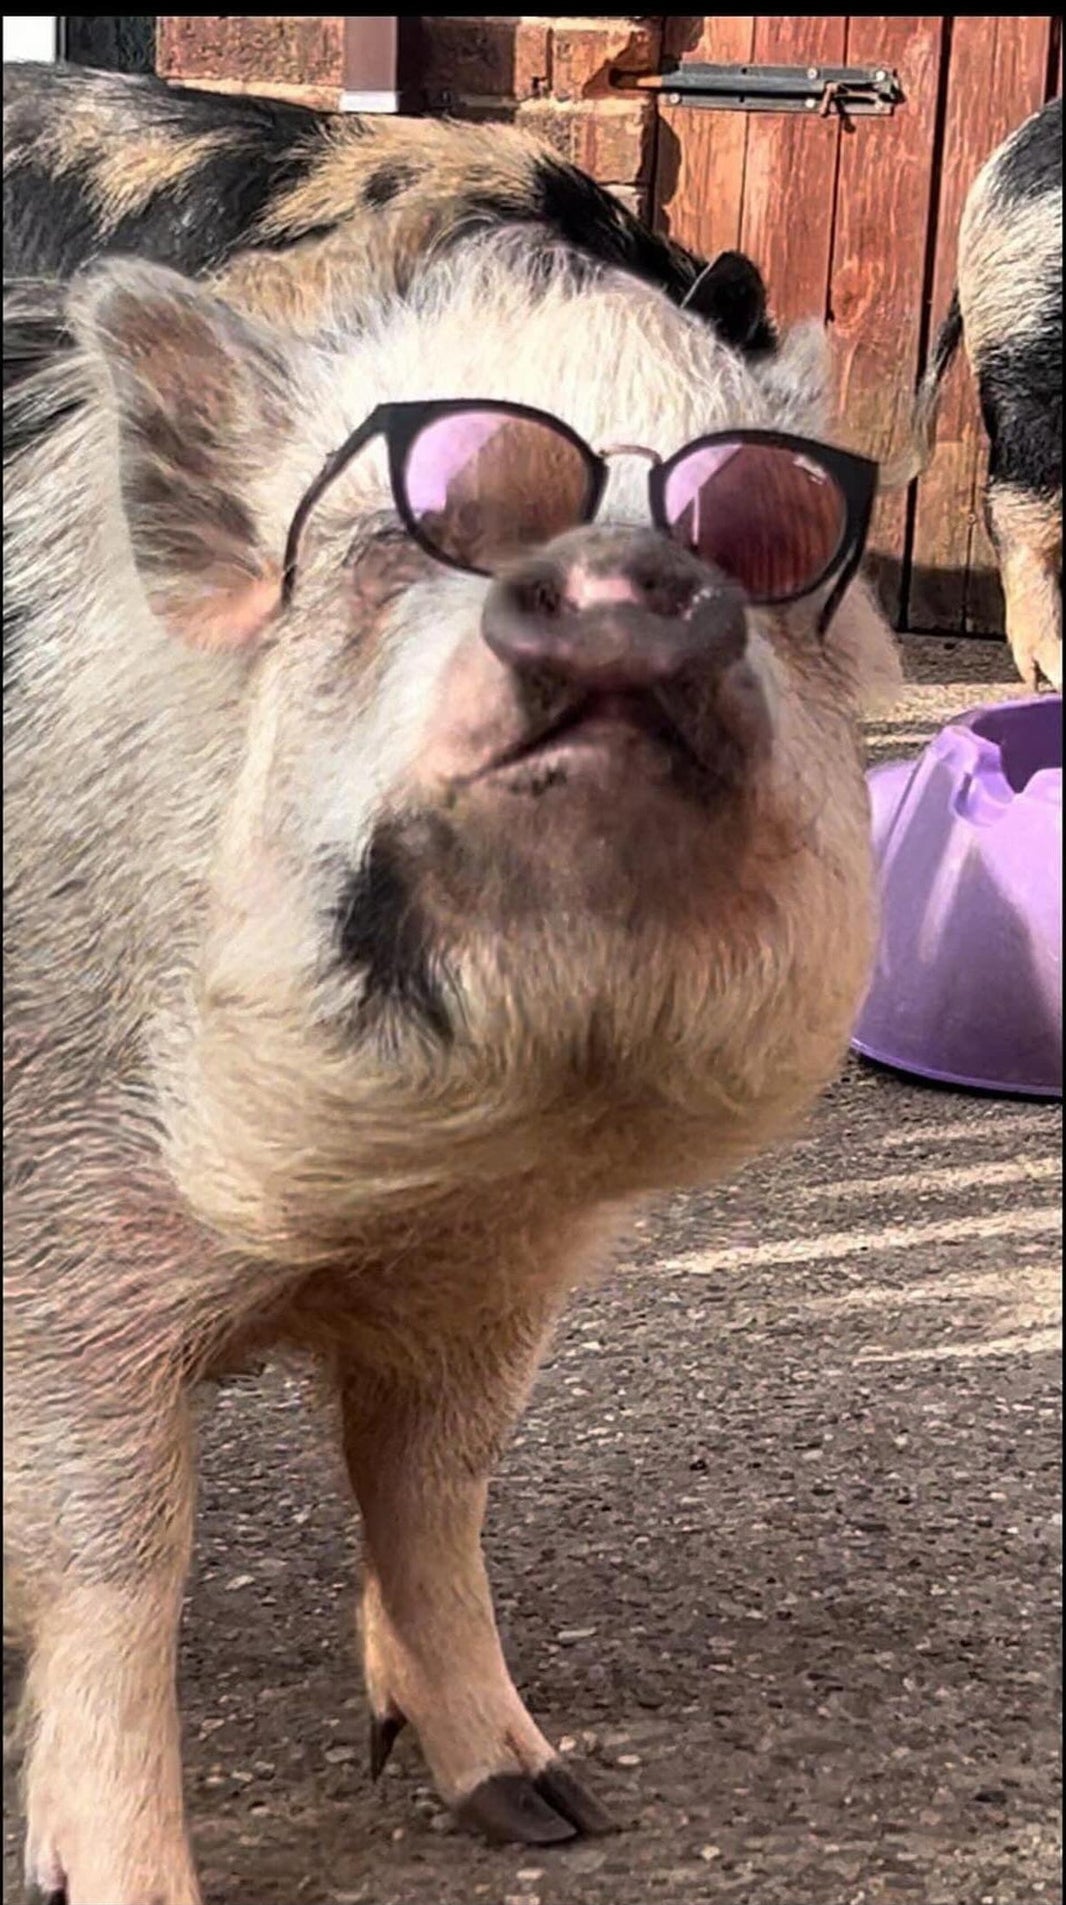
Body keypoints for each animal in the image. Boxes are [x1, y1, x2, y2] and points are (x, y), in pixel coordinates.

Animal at [4, 211, 901, 1903]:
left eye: (759, 533)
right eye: (423, 532)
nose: (631, 571)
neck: (396, 1193)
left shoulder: (499, 1274)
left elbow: (436, 1493)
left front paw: (543, 1808)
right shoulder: (63, 1258)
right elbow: (117, 1562)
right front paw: (126, 1883)